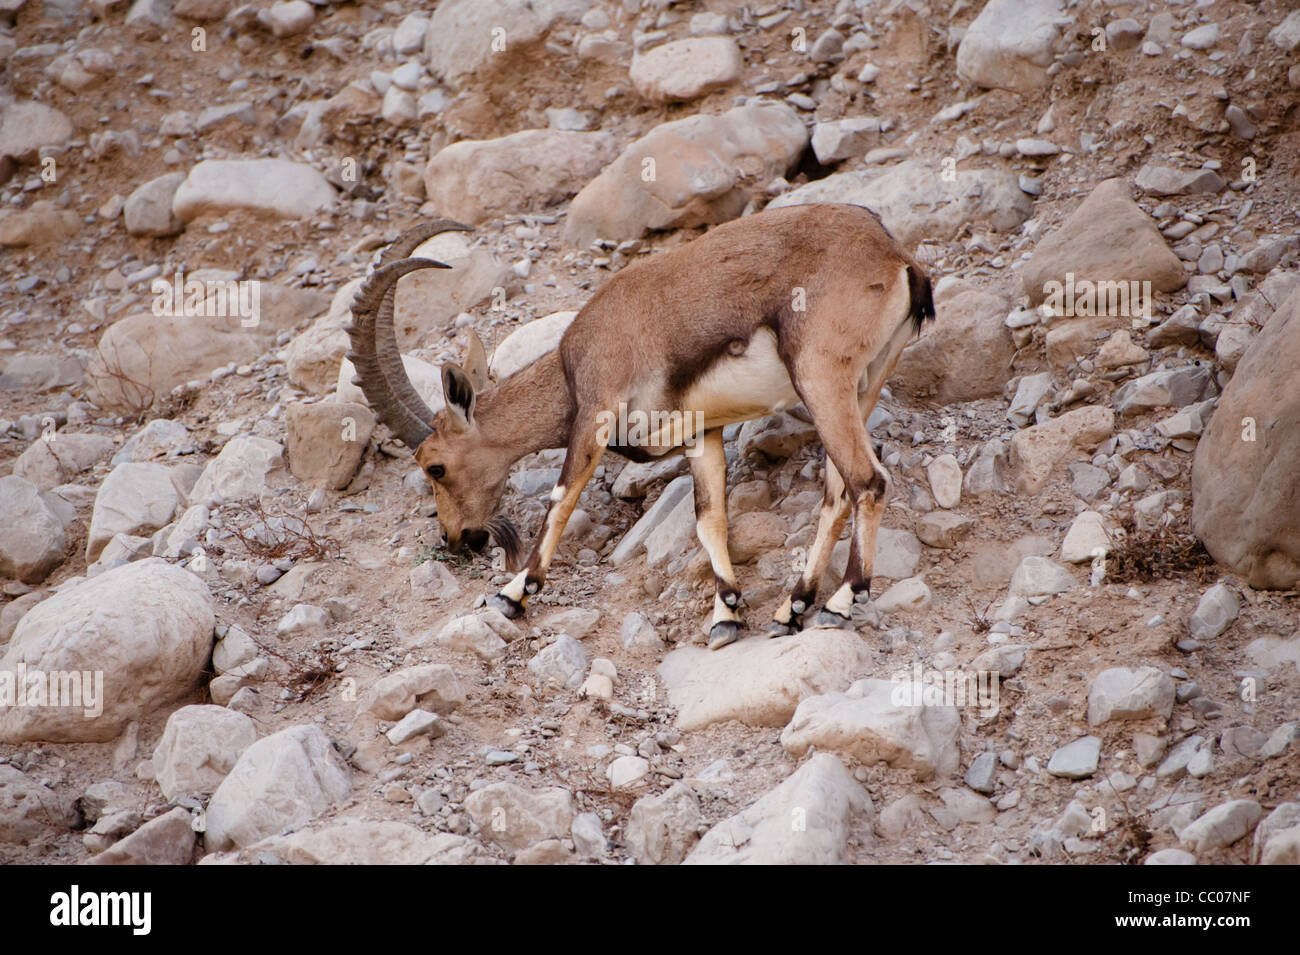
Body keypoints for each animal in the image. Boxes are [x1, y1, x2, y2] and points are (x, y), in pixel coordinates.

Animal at [346, 203, 934, 649]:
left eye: (435, 467)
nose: (455, 539)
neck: (569, 369)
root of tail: (898, 259)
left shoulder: (596, 411)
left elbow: (562, 497)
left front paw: (514, 593)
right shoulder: (701, 431)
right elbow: (709, 518)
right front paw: (726, 615)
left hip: (820, 377)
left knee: (868, 481)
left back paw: (839, 602)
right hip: (863, 385)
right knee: (838, 493)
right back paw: (792, 608)